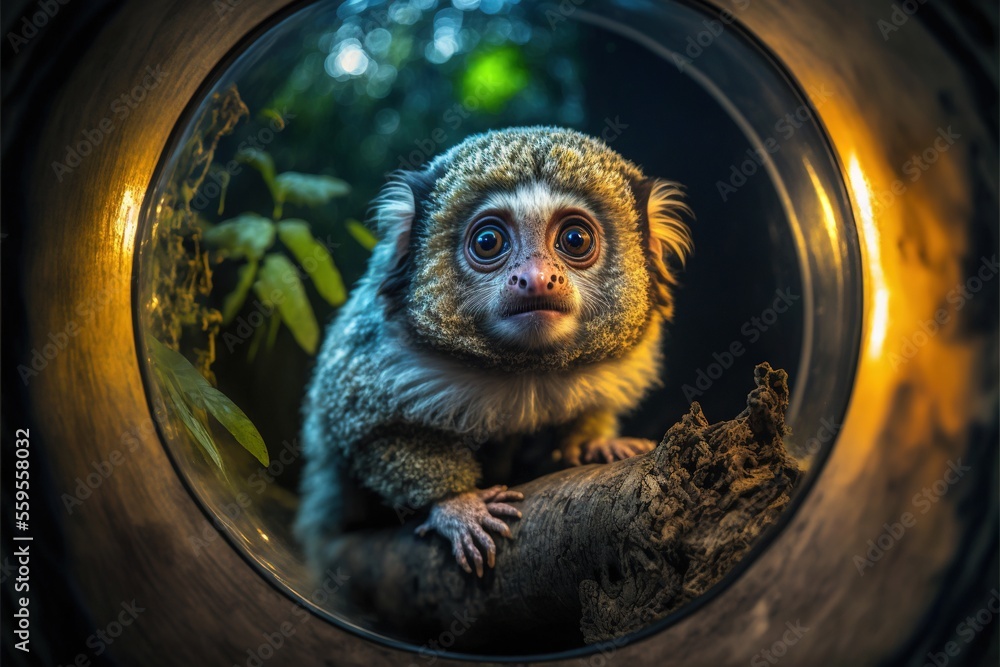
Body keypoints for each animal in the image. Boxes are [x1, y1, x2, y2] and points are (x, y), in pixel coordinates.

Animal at [296, 126, 693, 578]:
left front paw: (594, 444)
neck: (526, 371)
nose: (536, 278)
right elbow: (368, 434)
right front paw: (458, 506)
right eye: (488, 242)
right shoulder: (373, 356)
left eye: (575, 239)